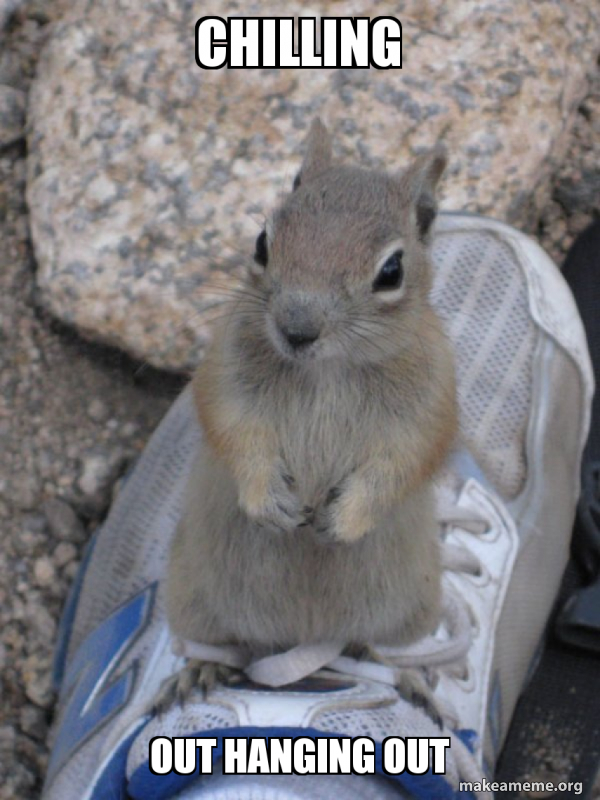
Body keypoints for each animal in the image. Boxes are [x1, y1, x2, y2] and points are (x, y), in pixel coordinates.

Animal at [162, 118, 457, 702]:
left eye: (392, 271)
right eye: (262, 241)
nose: (296, 328)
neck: (327, 369)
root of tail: (306, 634)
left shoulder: (428, 406)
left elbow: (401, 463)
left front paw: (345, 519)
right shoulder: (227, 377)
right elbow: (236, 433)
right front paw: (268, 500)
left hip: (413, 609)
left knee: (365, 644)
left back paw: (402, 676)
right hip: (189, 597)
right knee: (228, 645)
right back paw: (201, 670)